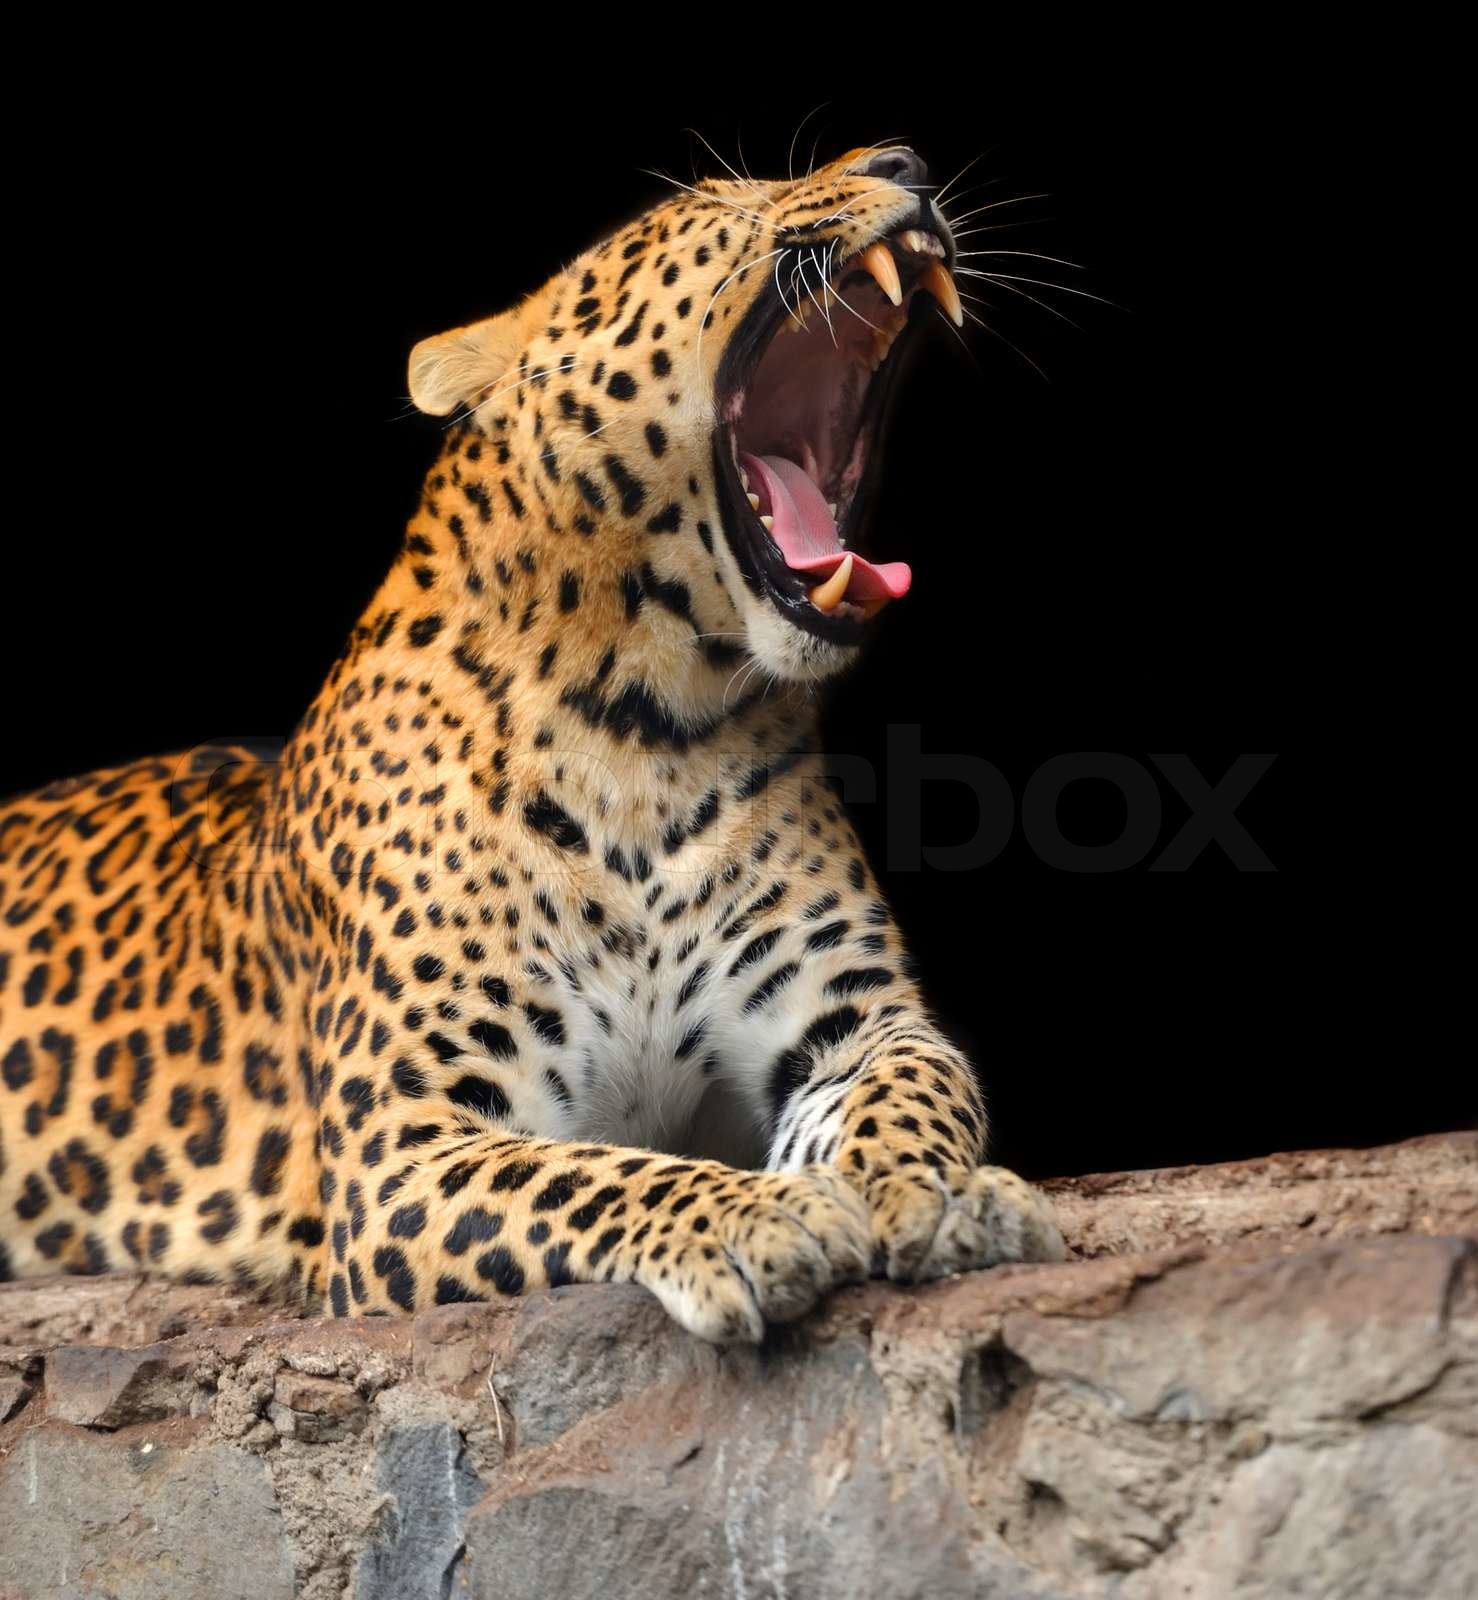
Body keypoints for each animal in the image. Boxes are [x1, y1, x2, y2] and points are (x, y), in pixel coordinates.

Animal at [0, 144, 1066, 1342]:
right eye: (719, 201)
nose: (903, 161)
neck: (646, 732)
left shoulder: (852, 1021)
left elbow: (911, 1091)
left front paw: (938, 1192)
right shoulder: (403, 1146)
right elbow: (596, 1175)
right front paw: (758, 1217)